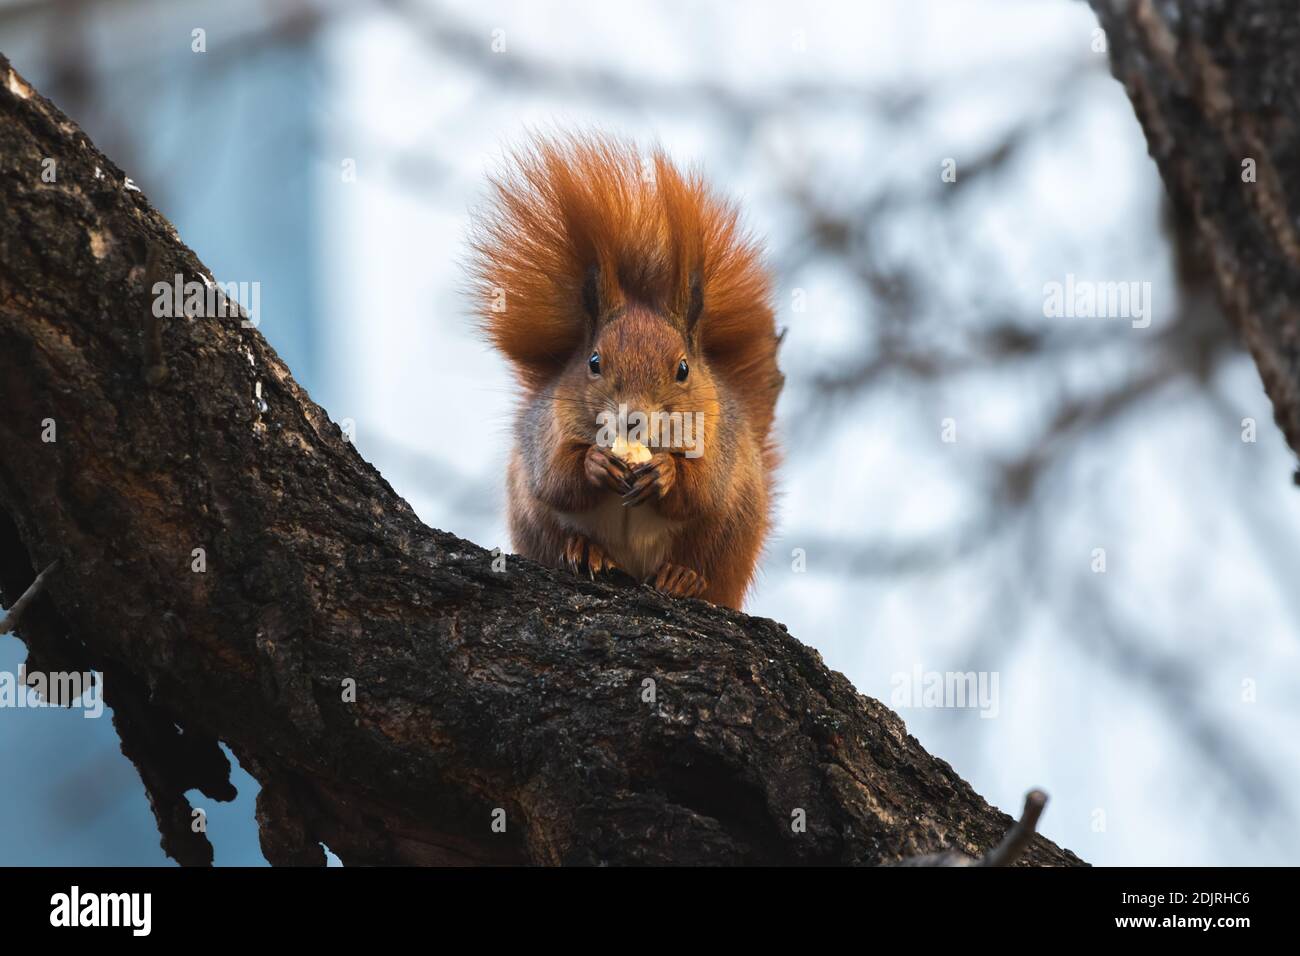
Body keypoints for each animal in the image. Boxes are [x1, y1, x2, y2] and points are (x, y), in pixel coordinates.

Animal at [468, 133, 784, 610]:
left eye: (683, 369)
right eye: (594, 362)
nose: (632, 419)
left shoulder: (720, 439)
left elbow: (703, 487)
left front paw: (666, 474)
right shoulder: (546, 430)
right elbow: (555, 477)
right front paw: (596, 463)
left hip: (731, 532)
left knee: (705, 559)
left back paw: (682, 576)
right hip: (532, 516)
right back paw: (586, 550)